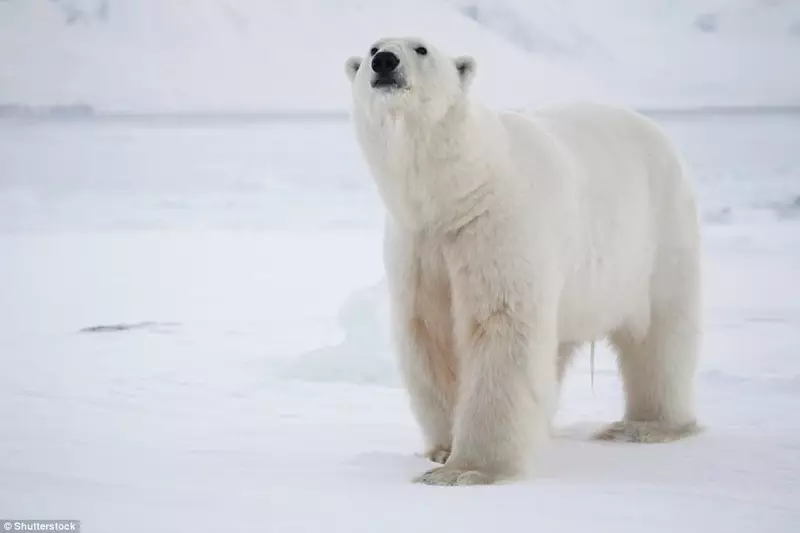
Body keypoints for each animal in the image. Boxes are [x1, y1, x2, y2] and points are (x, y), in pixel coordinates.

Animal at [344, 37, 700, 486]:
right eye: (372, 47)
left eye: (421, 48)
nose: (385, 62)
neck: (458, 191)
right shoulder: (419, 246)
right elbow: (431, 335)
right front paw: (442, 449)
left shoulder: (498, 227)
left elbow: (501, 328)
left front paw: (467, 469)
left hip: (657, 233)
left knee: (663, 332)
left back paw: (644, 426)